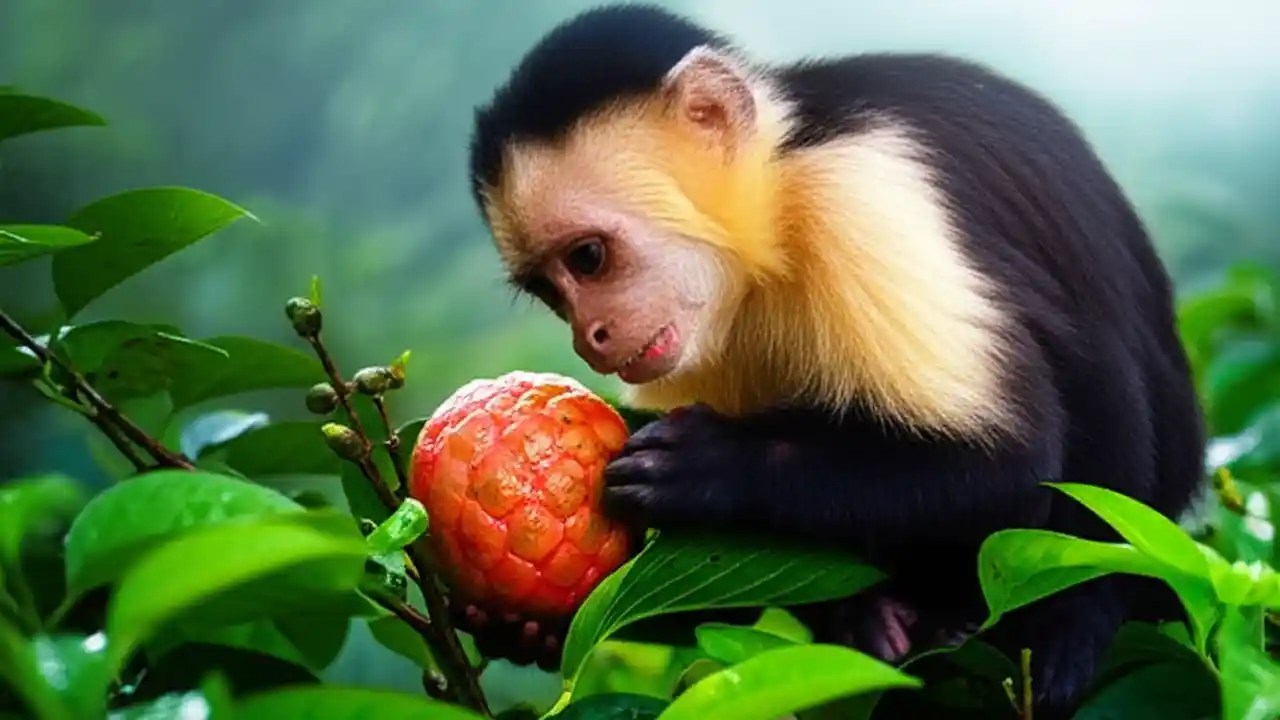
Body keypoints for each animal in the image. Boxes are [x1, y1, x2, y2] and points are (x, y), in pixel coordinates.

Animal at [452, 4, 1205, 717]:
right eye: (551, 291)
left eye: (589, 258)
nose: (592, 337)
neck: (775, 211)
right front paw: (523, 627)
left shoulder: (858, 194)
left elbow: (1011, 461)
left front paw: (717, 466)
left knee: (1085, 347)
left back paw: (1073, 621)